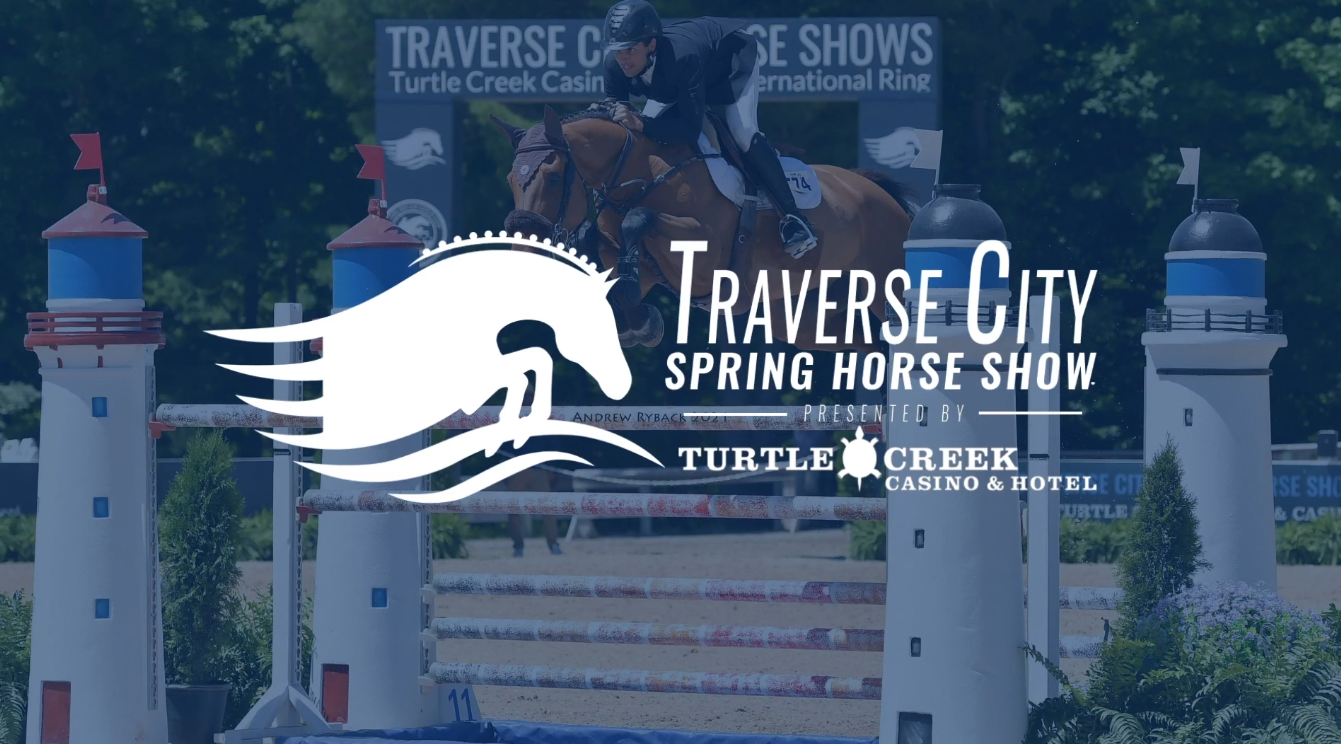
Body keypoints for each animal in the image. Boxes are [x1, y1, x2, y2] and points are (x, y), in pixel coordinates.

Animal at [492, 104, 918, 351]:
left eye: (552, 179)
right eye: (511, 181)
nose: (523, 248)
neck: (641, 173)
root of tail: (874, 190)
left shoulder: (703, 256)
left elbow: (638, 219)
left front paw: (641, 322)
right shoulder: (643, 264)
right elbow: (609, 257)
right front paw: (640, 324)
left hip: (887, 284)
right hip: (801, 318)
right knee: (867, 348)